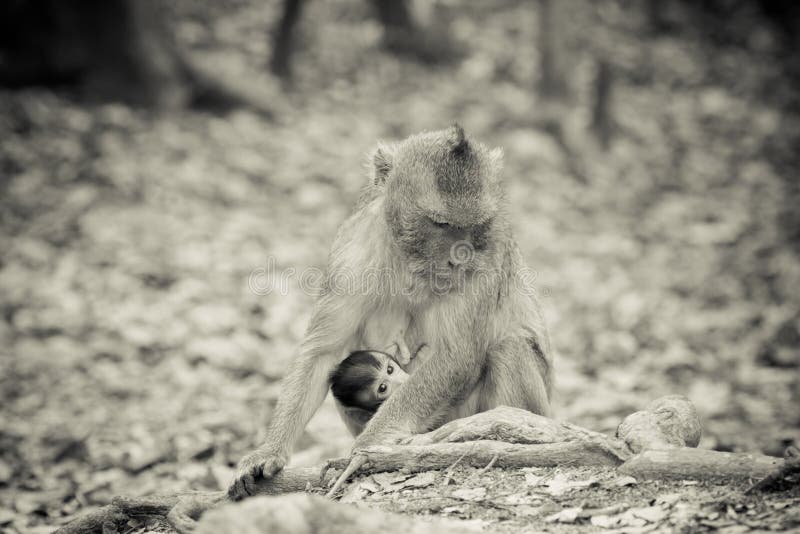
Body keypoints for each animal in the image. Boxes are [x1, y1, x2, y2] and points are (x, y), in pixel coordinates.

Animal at [229, 125, 553, 499]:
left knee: (509, 347)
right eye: (440, 223)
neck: (411, 261)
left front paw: (369, 445)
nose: (460, 256)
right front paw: (269, 451)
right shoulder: (353, 251)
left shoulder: (489, 256)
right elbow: (323, 351)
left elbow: (456, 356)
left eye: (476, 224)